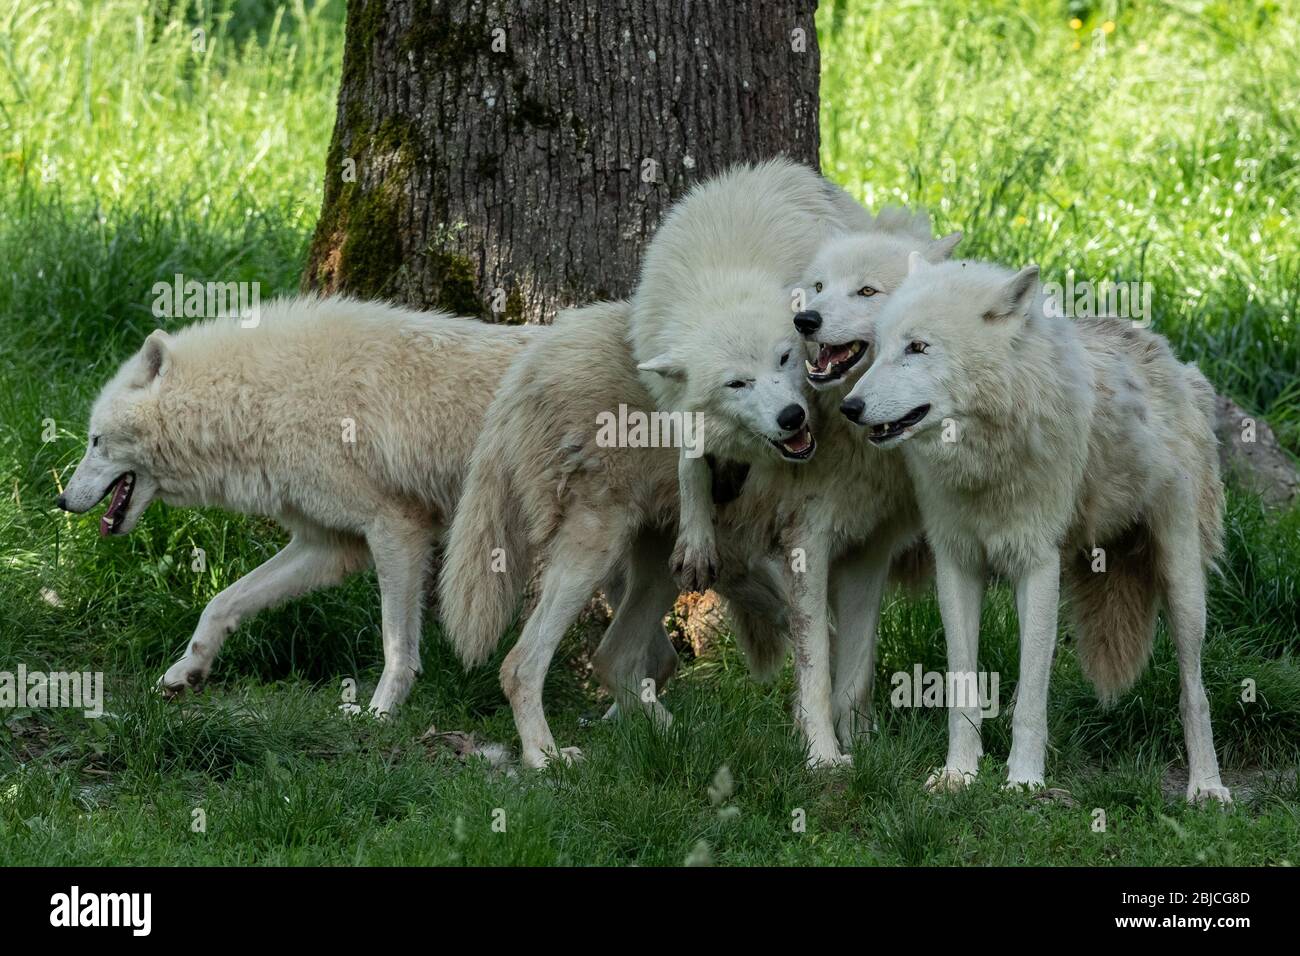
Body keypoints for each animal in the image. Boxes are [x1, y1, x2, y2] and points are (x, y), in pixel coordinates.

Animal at [57, 295, 540, 716]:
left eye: (95, 441)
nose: (61, 500)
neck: (263, 398)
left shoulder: (397, 527)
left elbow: (397, 646)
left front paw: (380, 713)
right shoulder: (330, 544)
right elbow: (222, 601)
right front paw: (187, 671)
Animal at [840, 254, 1229, 802]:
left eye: (917, 347)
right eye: (880, 347)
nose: (848, 409)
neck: (986, 460)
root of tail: (1171, 356)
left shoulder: (1037, 566)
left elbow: (1031, 699)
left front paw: (1023, 779)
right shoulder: (957, 564)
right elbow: (963, 686)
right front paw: (960, 774)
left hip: (1183, 585)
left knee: (1194, 690)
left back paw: (1207, 788)